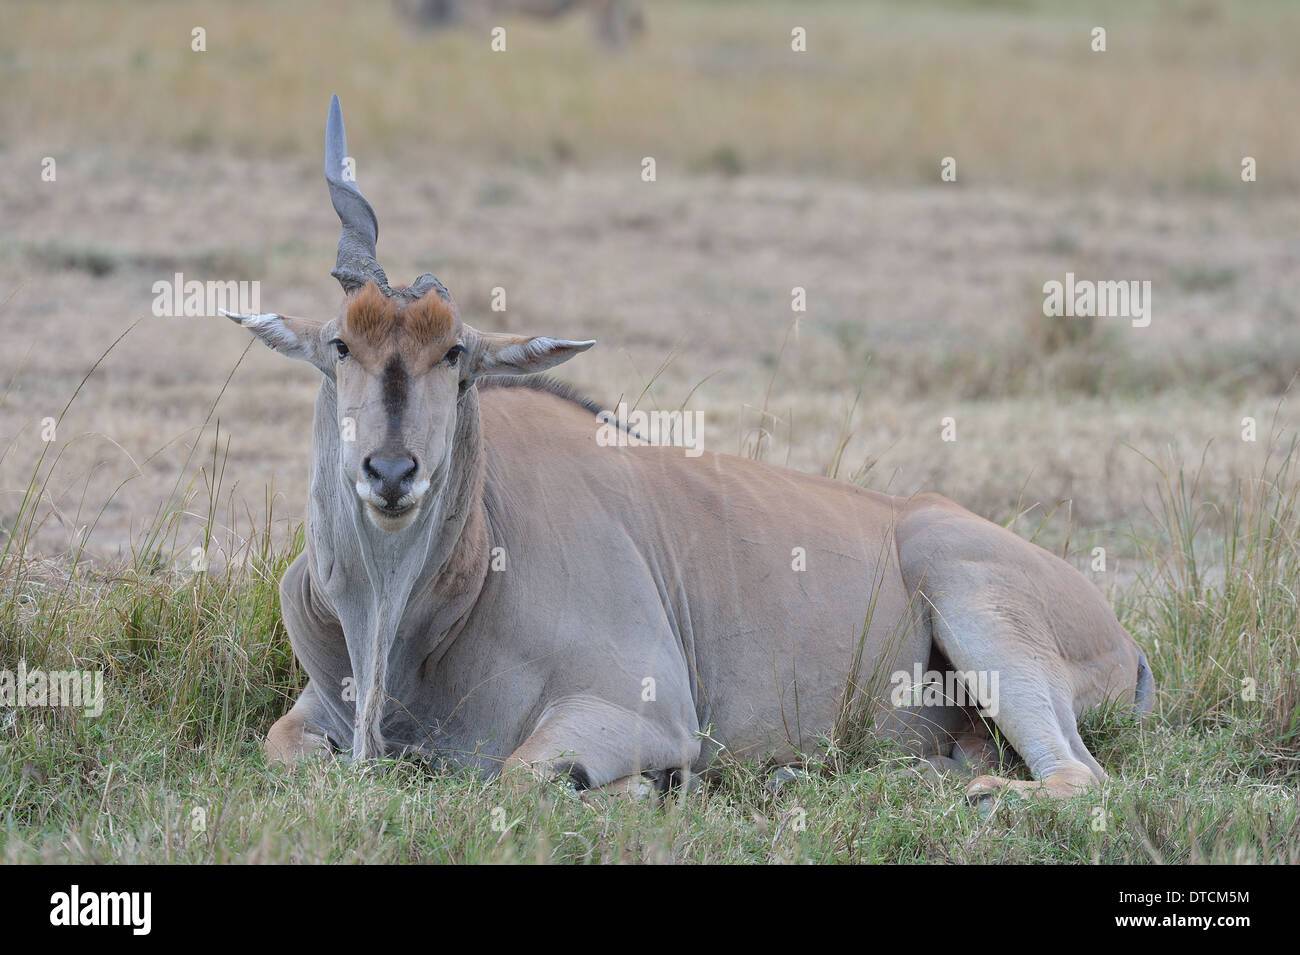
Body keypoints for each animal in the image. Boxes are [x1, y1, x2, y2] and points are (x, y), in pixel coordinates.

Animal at [224, 96, 1153, 801]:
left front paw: (653, 788)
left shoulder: (643, 711)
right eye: (342, 344)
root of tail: (1125, 638)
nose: (390, 472)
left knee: (1082, 777)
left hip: (974, 603)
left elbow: (526, 776)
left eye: (455, 355)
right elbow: (282, 746)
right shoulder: (315, 717)